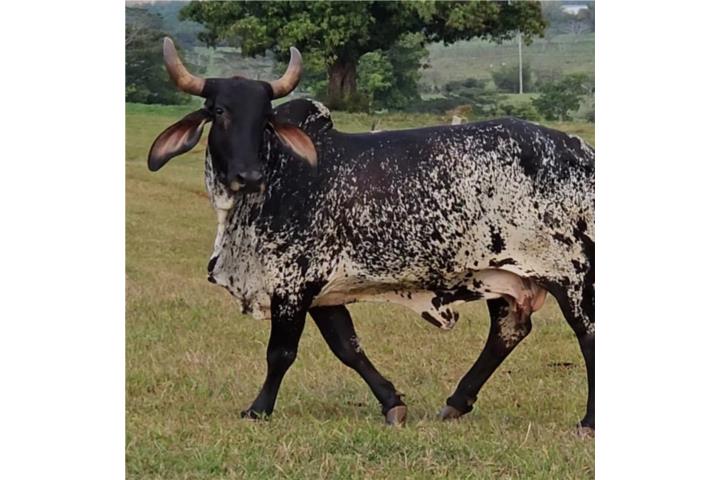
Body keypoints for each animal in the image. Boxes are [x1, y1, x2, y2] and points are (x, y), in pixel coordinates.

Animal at [148, 38, 595, 433]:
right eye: (219, 110)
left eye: (265, 119)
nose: (249, 175)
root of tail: (582, 150)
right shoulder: (322, 292)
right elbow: (347, 347)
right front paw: (392, 404)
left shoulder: (293, 285)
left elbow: (280, 353)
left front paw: (258, 409)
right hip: (502, 273)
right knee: (508, 331)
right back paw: (456, 403)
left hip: (573, 274)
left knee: (586, 333)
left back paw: (588, 422)